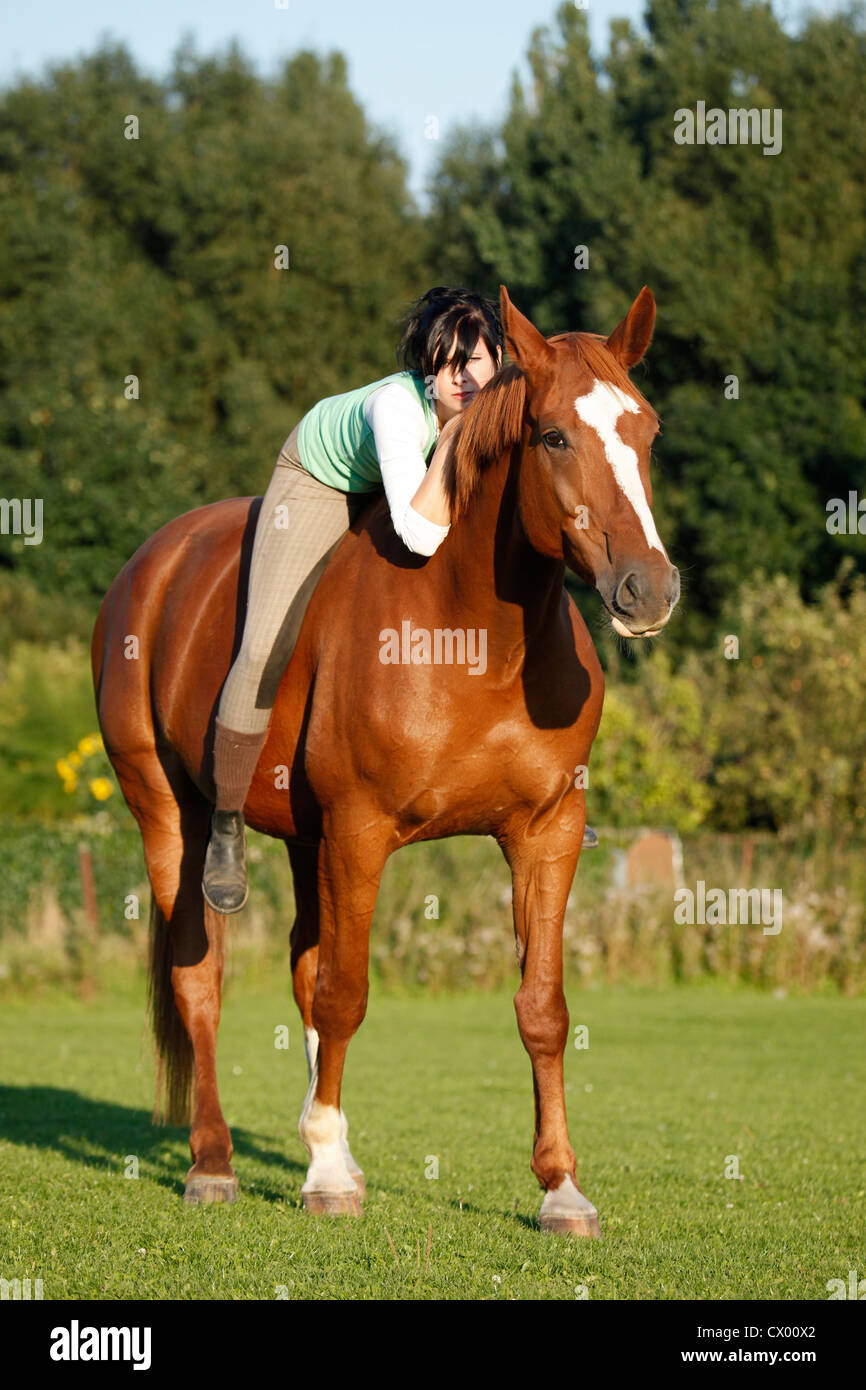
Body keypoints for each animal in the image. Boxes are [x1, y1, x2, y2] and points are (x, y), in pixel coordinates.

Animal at [91, 285, 679, 1237]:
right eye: (554, 437)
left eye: (648, 432)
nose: (648, 589)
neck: (479, 635)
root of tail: (152, 561)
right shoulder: (362, 832)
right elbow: (346, 995)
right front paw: (328, 1181)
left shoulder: (547, 833)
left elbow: (541, 1008)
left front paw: (560, 1188)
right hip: (169, 814)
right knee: (201, 977)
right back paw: (214, 1163)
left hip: (304, 838)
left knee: (300, 969)